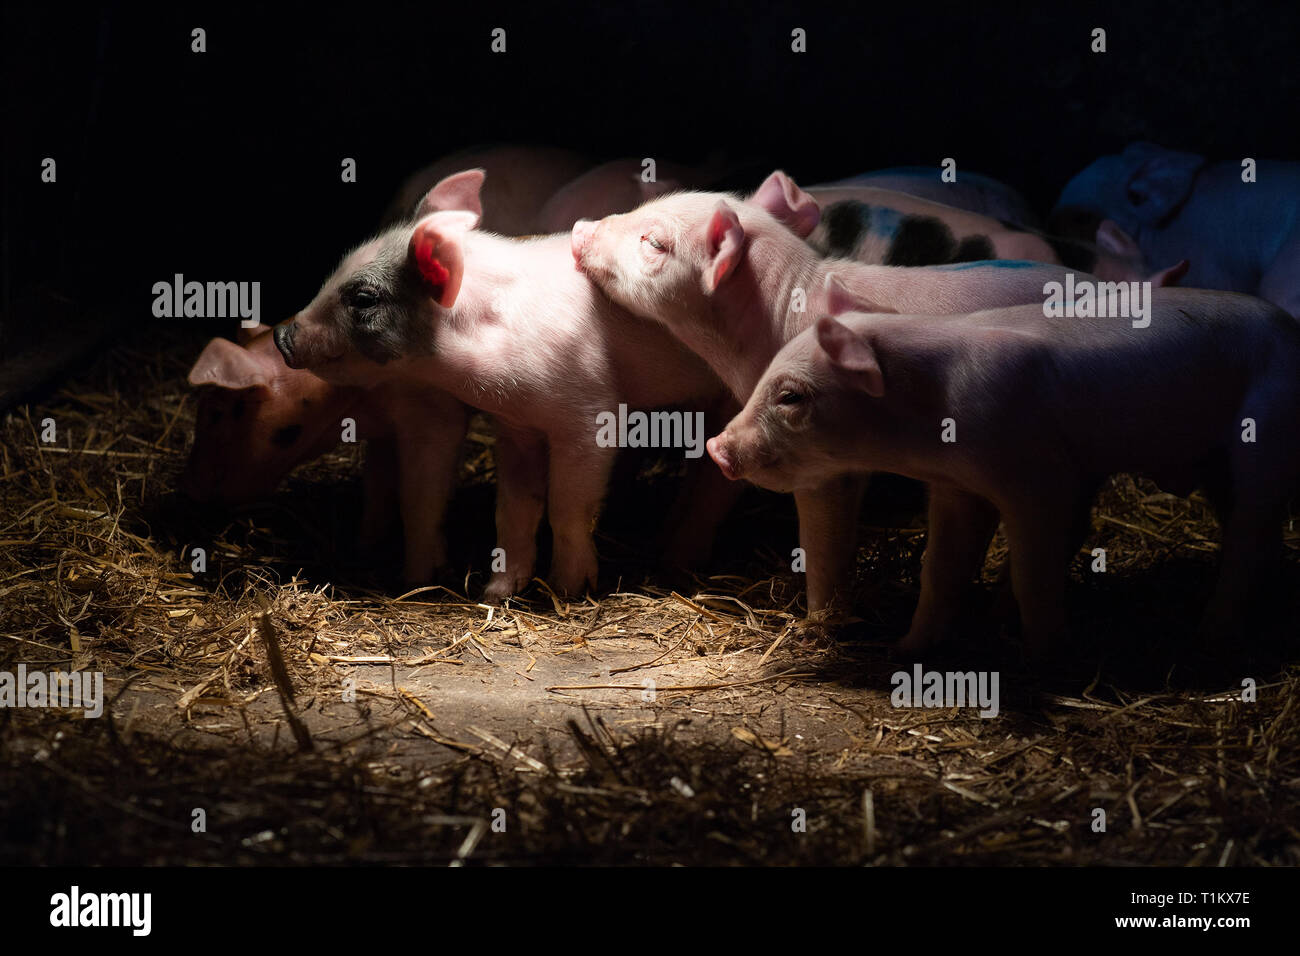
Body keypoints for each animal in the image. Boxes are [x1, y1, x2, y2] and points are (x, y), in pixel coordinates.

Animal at [183, 325, 470, 583]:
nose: (191, 491)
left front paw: (413, 582)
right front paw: (362, 550)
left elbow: (416, 502)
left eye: (216, 413)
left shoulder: (436, 417)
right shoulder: (387, 429)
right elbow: (377, 487)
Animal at [273, 169, 733, 598]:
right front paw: (496, 592)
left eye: (363, 299)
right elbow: (514, 508)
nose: (281, 336)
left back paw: (680, 559)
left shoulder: (589, 414)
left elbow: (565, 507)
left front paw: (568, 590)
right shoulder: (516, 425)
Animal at [708, 289, 1300, 654]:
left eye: (791, 395)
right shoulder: (956, 488)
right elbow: (941, 567)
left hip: (1268, 434)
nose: (715, 447)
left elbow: (1034, 570)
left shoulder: (1041, 480)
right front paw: (907, 648)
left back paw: (1208, 638)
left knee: (1250, 537)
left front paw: (1044, 655)